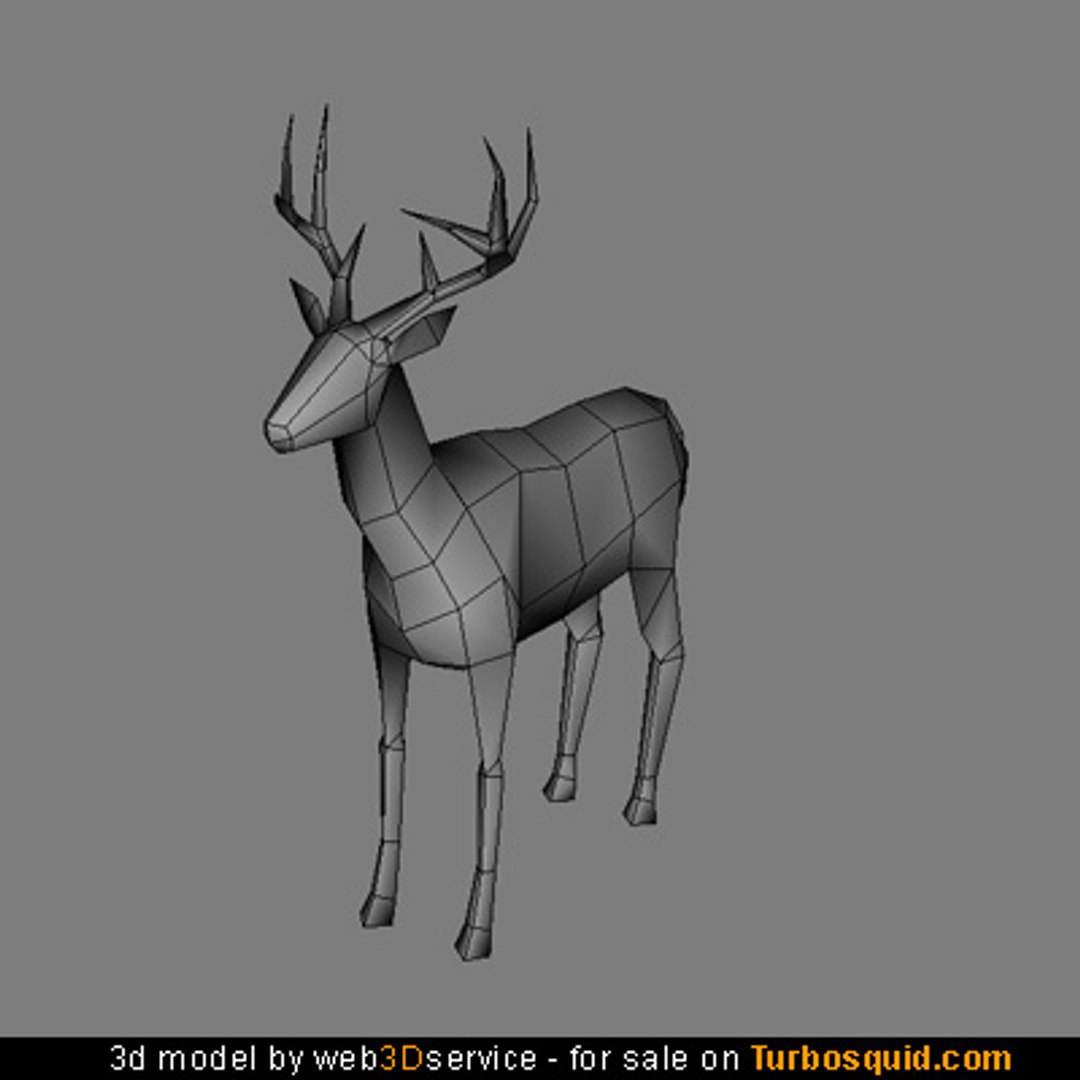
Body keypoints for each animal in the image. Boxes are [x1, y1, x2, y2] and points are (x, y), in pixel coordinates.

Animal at [263, 107, 688, 960]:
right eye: (312, 347)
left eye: (372, 358)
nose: (276, 426)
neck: (428, 534)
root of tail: (669, 413)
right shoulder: (386, 643)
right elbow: (391, 754)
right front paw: (375, 905)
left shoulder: (492, 646)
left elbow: (488, 770)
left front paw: (474, 933)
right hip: (578, 580)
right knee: (589, 637)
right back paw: (561, 783)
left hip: (660, 551)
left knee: (670, 649)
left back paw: (638, 802)